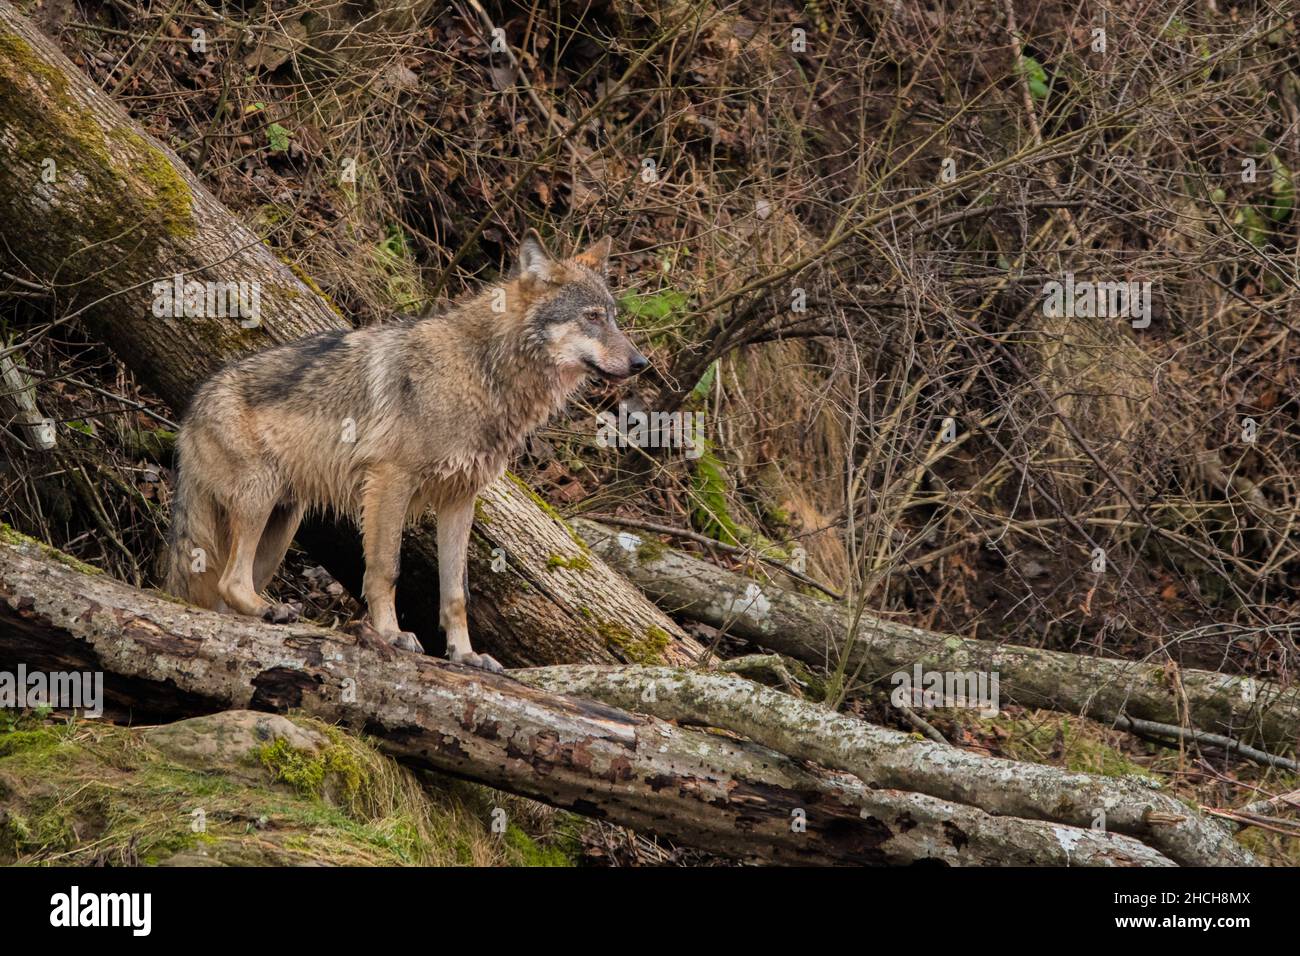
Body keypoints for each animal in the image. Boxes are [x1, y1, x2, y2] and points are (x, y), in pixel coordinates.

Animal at [166, 231, 646, 672]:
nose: (642, 363)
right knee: (230, 581)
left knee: (227, 594)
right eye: (592, 317)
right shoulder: (389, 481)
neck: (481, 374)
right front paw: (392, 634)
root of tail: (191, 411)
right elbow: (385, 568)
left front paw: (465, 654)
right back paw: (269, 608)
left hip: (283, 523)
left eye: (613, 318)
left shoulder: (461, 499)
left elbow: (456, 592)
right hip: (259, 502)